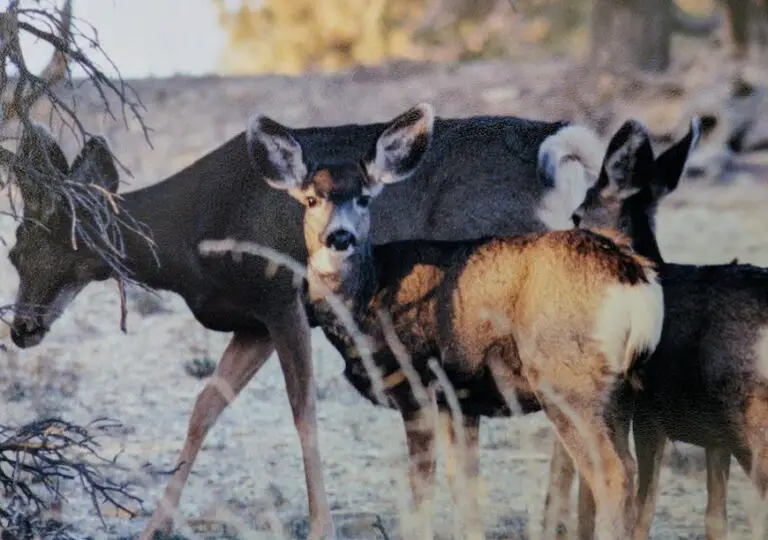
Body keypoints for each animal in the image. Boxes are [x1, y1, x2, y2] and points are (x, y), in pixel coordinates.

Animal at [5, 99, 608, 539]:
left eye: (25, 246)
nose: (22, 329)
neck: (192, 237)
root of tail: (560, 154)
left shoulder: (281, 297)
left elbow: (304, 415)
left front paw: (321, 527)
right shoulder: (251, 321)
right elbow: (204, 409)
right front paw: (155, 524)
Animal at [202, 102, 669, 540]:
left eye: (365, 198)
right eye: (312, 199)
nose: (340, 237)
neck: (370, 293)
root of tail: (636, 279)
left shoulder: (416, 387)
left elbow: (422, 491)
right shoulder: (455, 398)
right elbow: (464, 485)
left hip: (566, 379)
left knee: (611, 473)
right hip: (617, 390)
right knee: (628, 468)